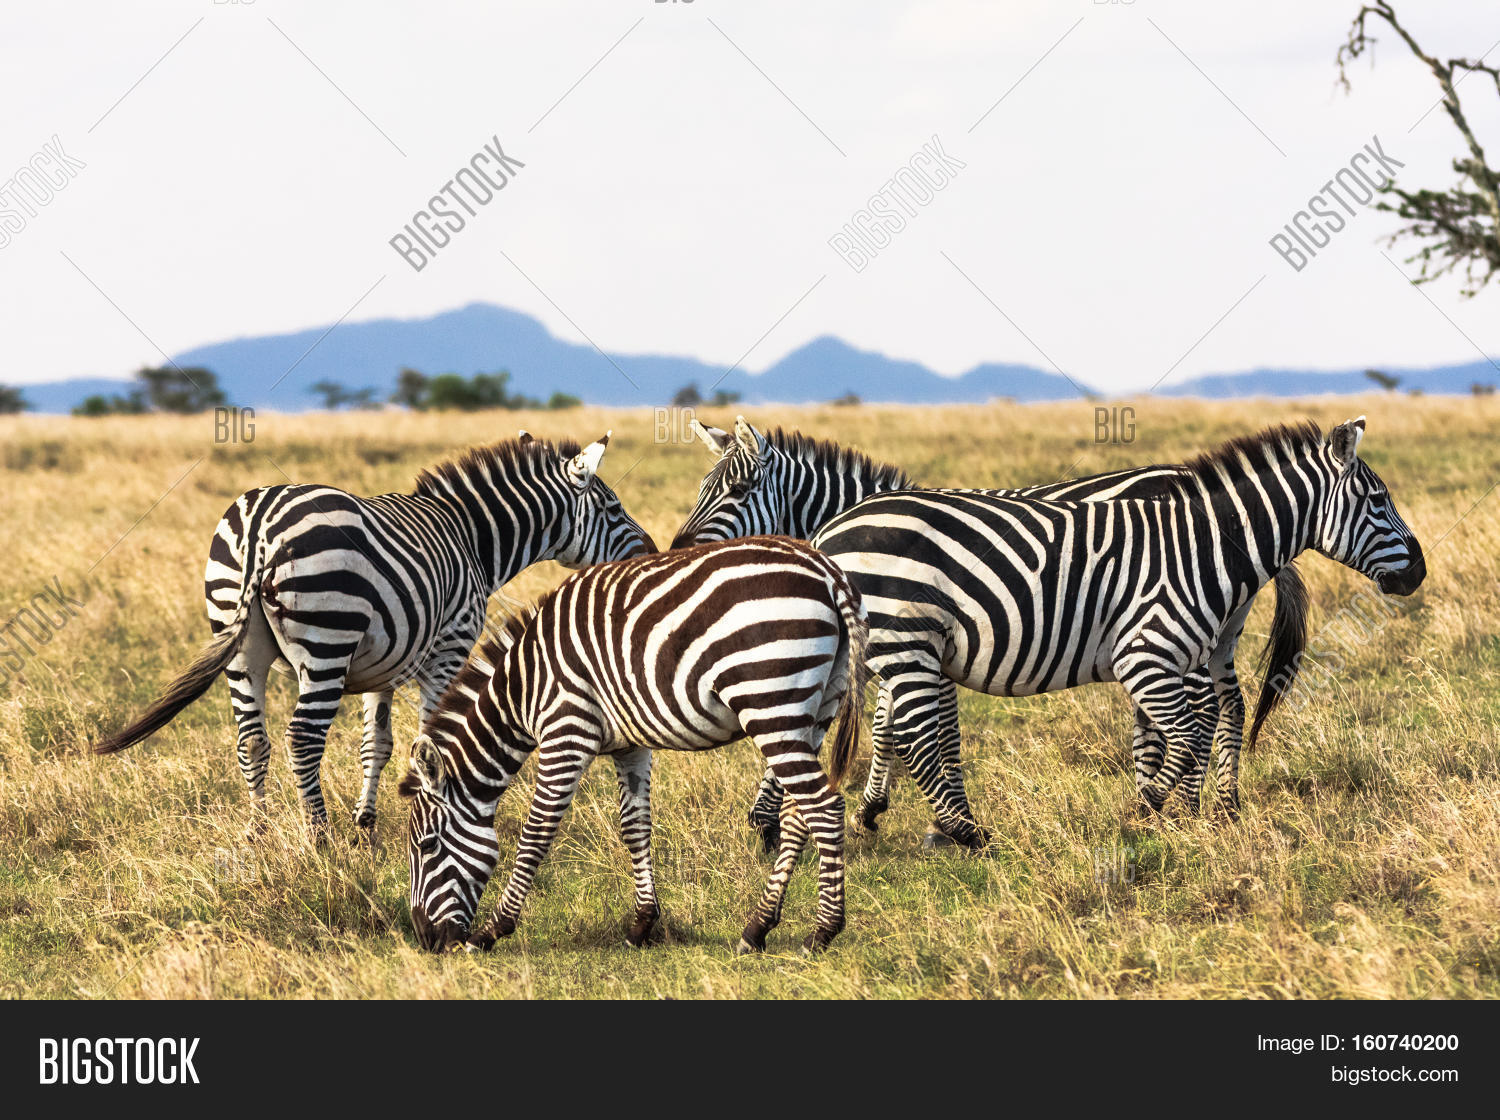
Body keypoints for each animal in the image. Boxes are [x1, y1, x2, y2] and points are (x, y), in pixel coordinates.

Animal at [94, 432, 654, 836]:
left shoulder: (383, 663)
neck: (471, 538)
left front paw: (366, 823)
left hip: (239, 642)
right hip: (326, 641)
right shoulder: (449, 646)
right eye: (613, 510)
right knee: (302, 738)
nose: (651, 552)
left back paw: (258, 832)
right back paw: (317, 837)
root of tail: (258, 524)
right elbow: (431, 735)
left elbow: (376, 744)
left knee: (252, 739)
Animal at [399, 536, 868, 954]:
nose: (426, 942)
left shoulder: (566, 730)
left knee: (825, 807)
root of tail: (827, 573)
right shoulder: (630, 745)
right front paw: (642, 923)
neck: (524, 686)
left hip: (770, 702)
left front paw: (492, 931)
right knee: (798, 814)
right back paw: (757, 929)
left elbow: (536, 833)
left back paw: (821, 934)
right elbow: (635, 827)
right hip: (815, 710)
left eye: (427, 846)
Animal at [671, 416, 1306, 847]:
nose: (676, 551)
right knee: (1229, 703)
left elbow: (897, 728)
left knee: (1203, 707)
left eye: (737, 492)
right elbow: (899, 725)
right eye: (701, 489)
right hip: (1218, 628)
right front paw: (888, 808)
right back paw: (1218, 803)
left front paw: (861, 810)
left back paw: (1184, 804)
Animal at [804, 417, 1423, 839]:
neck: (1201, 544)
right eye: (1377, 500)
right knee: (914, 734)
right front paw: (1149, 809)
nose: (1419, 570)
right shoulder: (1145, 654)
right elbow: (1186, 734)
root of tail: (832, 531)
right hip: (904, 642)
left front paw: (1155, 808)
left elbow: (1185, 732)